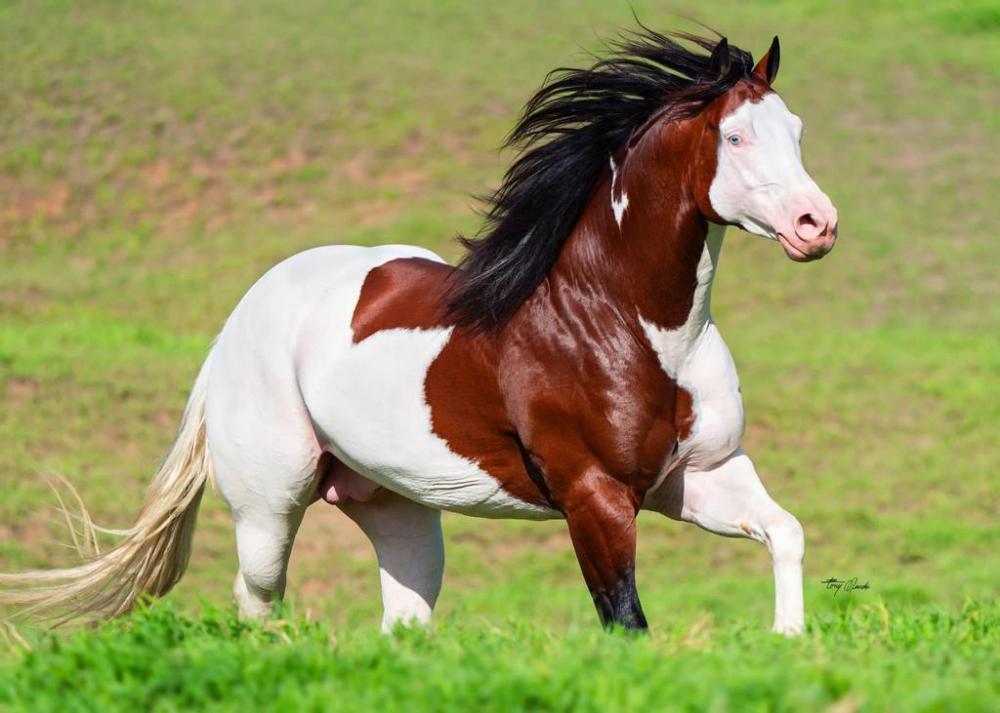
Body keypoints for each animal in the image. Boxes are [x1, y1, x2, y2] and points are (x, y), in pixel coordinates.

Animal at [0, 28, 837, 635]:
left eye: (796, 127)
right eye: (735, 138)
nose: (816, 225)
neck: (622, 325)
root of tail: (243, 317)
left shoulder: (695, 475)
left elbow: (786, 530)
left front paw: (788, 642)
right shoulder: (594, 496)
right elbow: (625, 619)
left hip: (398, 510)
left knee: (401, 625)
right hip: (269, 506)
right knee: (256, 599)